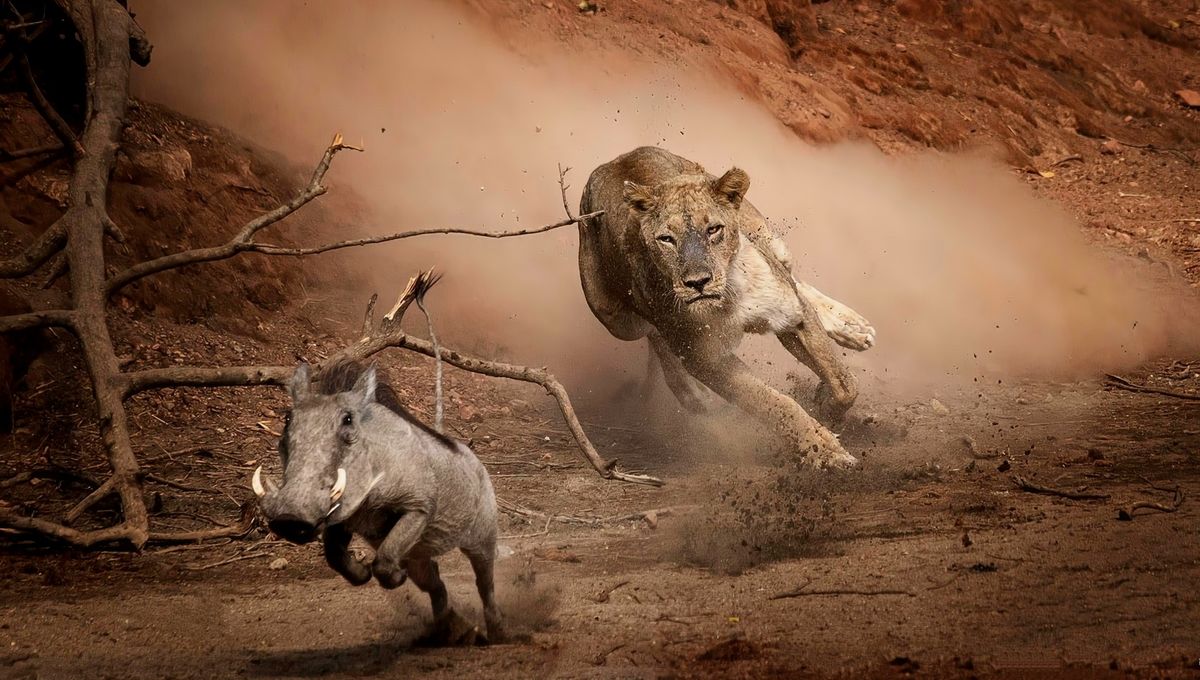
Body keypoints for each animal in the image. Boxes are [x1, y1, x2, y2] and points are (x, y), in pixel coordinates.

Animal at [577, 146, 875, 467]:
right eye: (666, 239)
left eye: (713, 230)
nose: (697, 282)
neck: (727, 295)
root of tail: (619, 158)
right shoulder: (706, 358)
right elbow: (772, 404)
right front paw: (824, 450)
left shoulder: (791, 316)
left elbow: (844, 384)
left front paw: (825, 405)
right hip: (614, 317)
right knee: (653, 333)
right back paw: (691, 392)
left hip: (765, 236)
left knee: (792, 277)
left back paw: (854, 328)